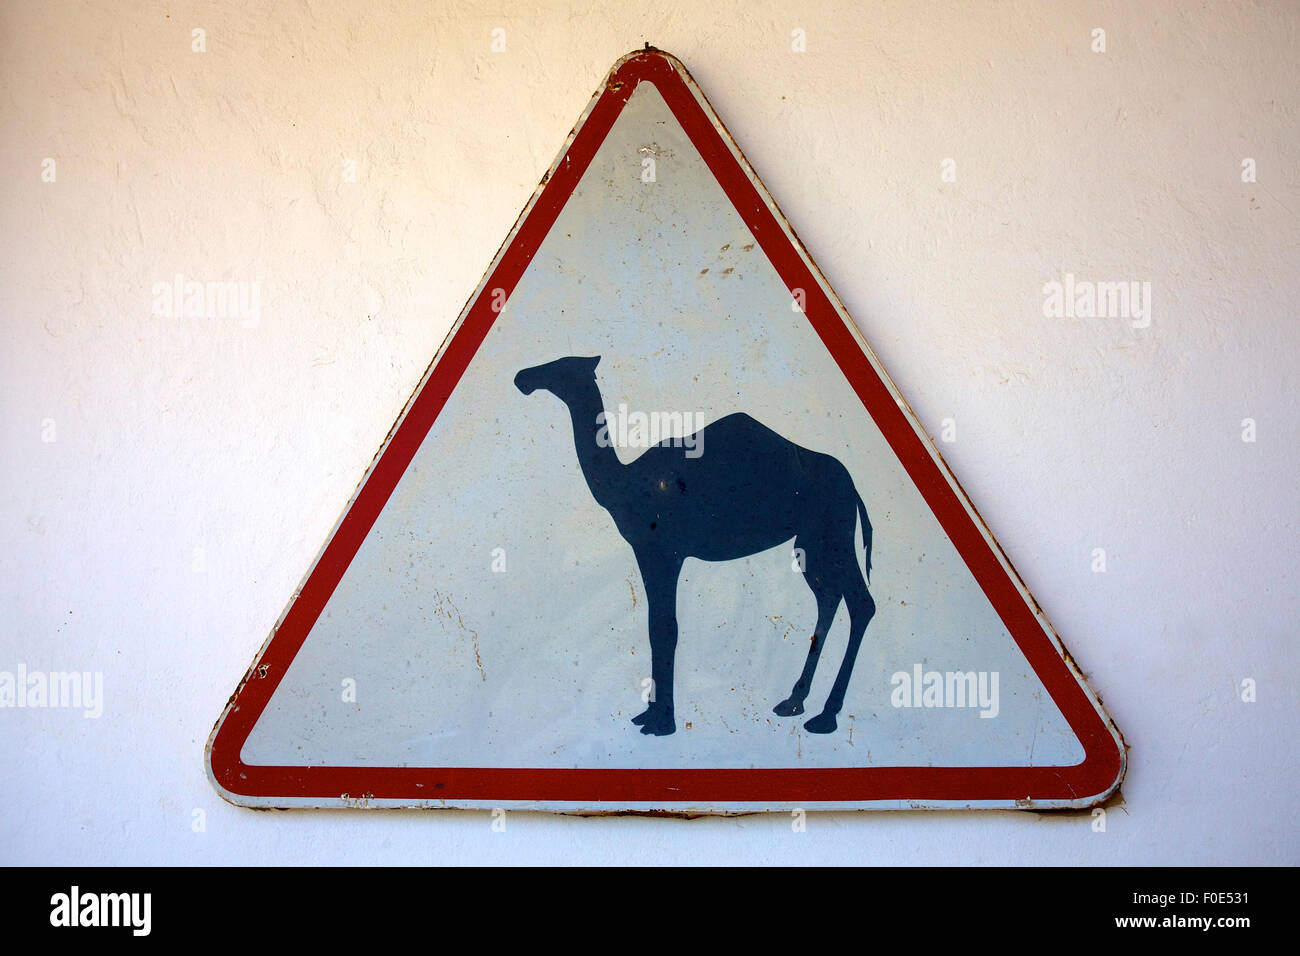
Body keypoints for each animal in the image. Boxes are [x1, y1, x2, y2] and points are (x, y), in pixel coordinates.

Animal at [514, 355, 876, 736]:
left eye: (561, 365)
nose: (522, 378)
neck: (624, 485)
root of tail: (854, 487)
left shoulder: (661, 552)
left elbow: (664, 628)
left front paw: (660, 721)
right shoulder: (655, 553)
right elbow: (657, 626)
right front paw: (648, 714)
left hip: (834, 531)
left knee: (860, 603)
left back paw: (826, 716)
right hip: (812, 542)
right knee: (829, 600)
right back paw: (794, 702)